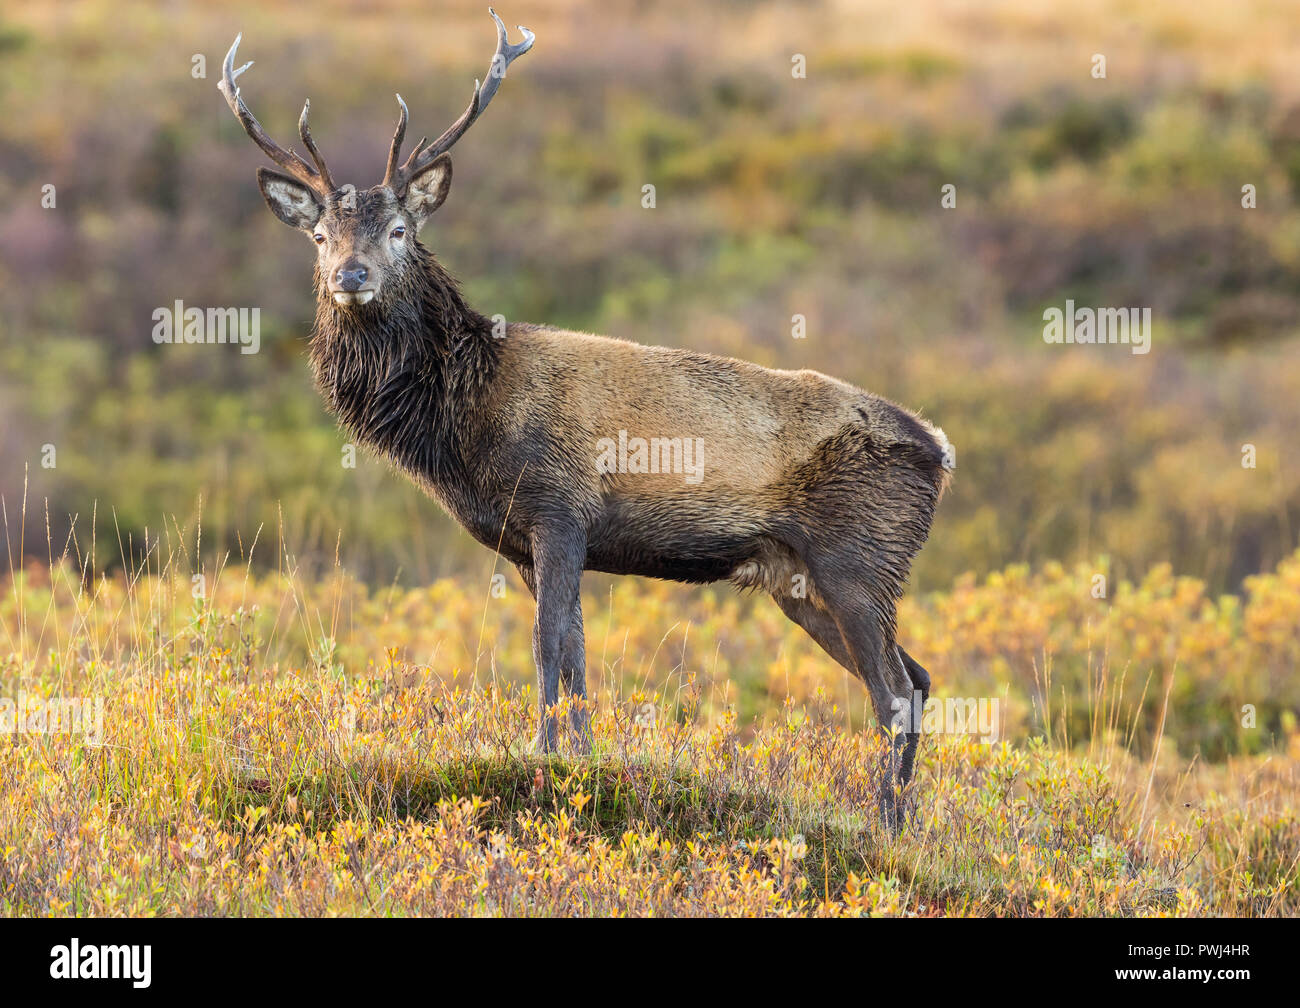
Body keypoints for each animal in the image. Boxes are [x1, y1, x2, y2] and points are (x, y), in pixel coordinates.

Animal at [218, 7, 954, 828]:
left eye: (400, 231)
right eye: (319, 236)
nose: (351, 276)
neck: (468, 425)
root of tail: (940, 450)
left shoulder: (559, 508)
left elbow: (549, 649)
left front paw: (547, 763)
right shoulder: (526, 543)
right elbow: (571, 652)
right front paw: (578, 760)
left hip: (859, 557)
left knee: (894, 690)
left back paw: (884, 823)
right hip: (800, 579)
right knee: (918, 676)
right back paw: (897, 816)